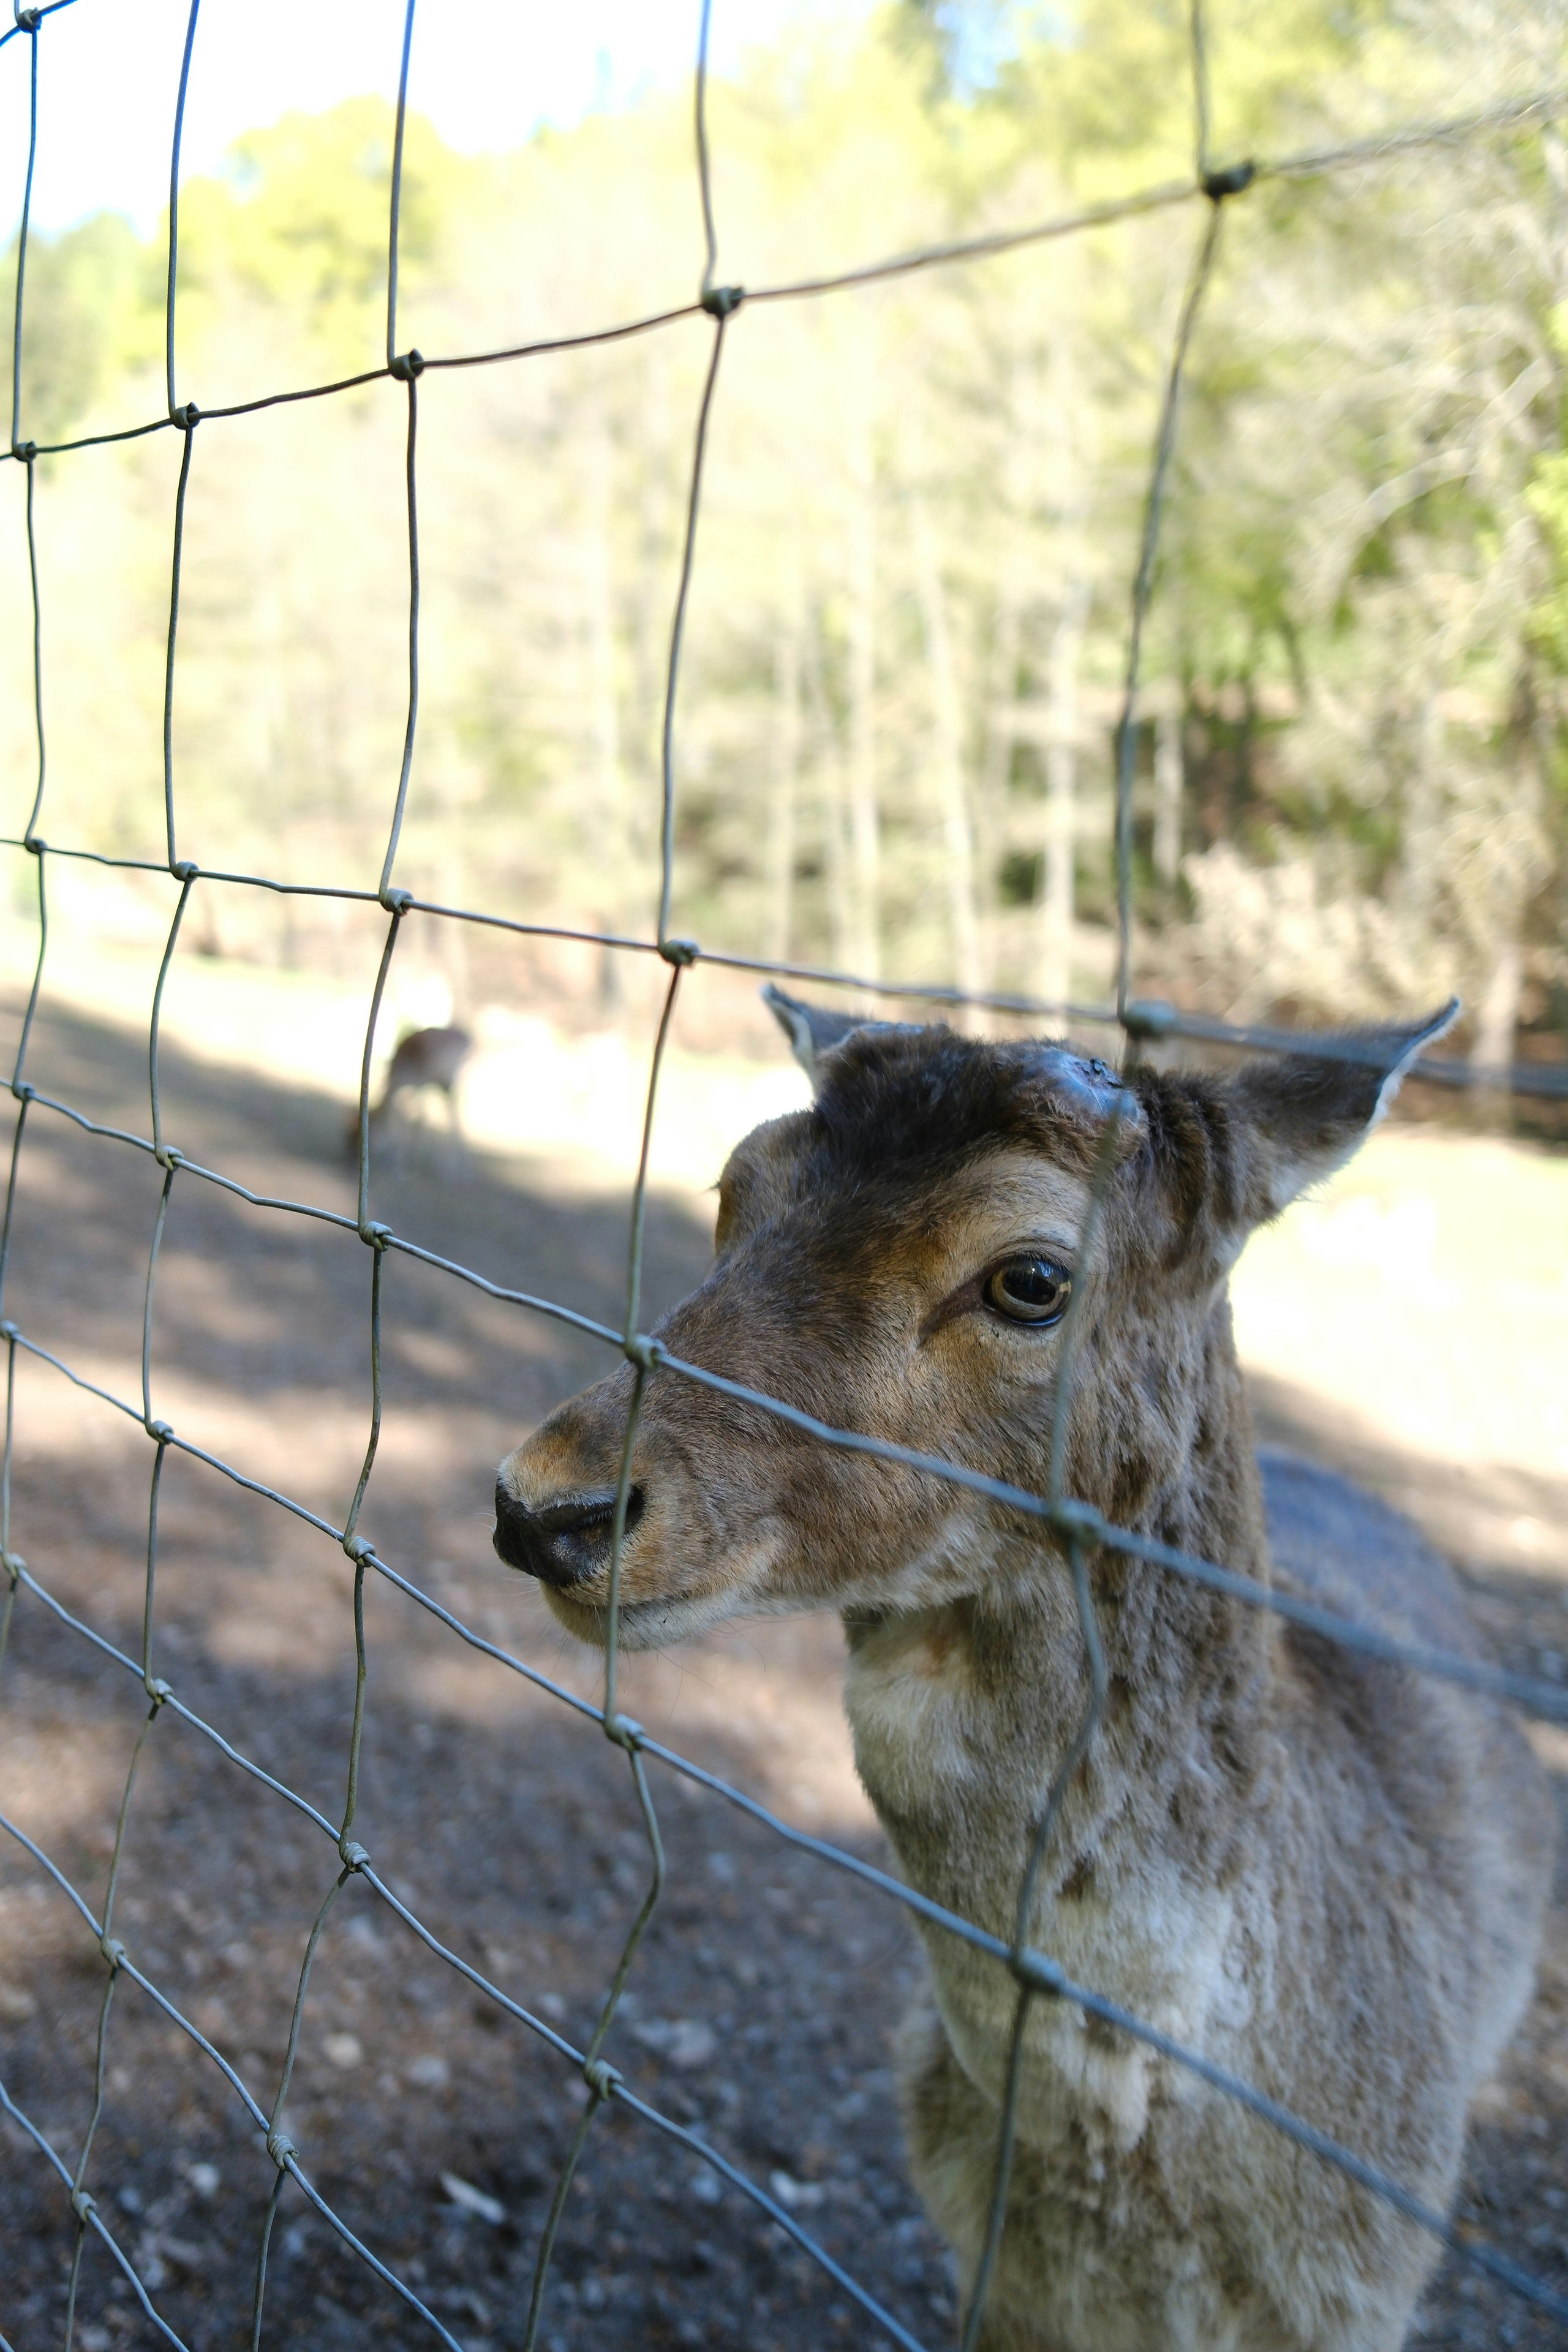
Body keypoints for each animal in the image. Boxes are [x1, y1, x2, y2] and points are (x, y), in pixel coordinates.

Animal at [343, 1024, 472, 1164]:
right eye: (348, 1136)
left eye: (357, 1137)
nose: (349, 1157)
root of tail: (467, 1038)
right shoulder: (416, 1086)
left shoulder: (415, 1083)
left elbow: (412, 1118)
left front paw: (402, 1158)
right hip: (443, 1082)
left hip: (447, 1078)